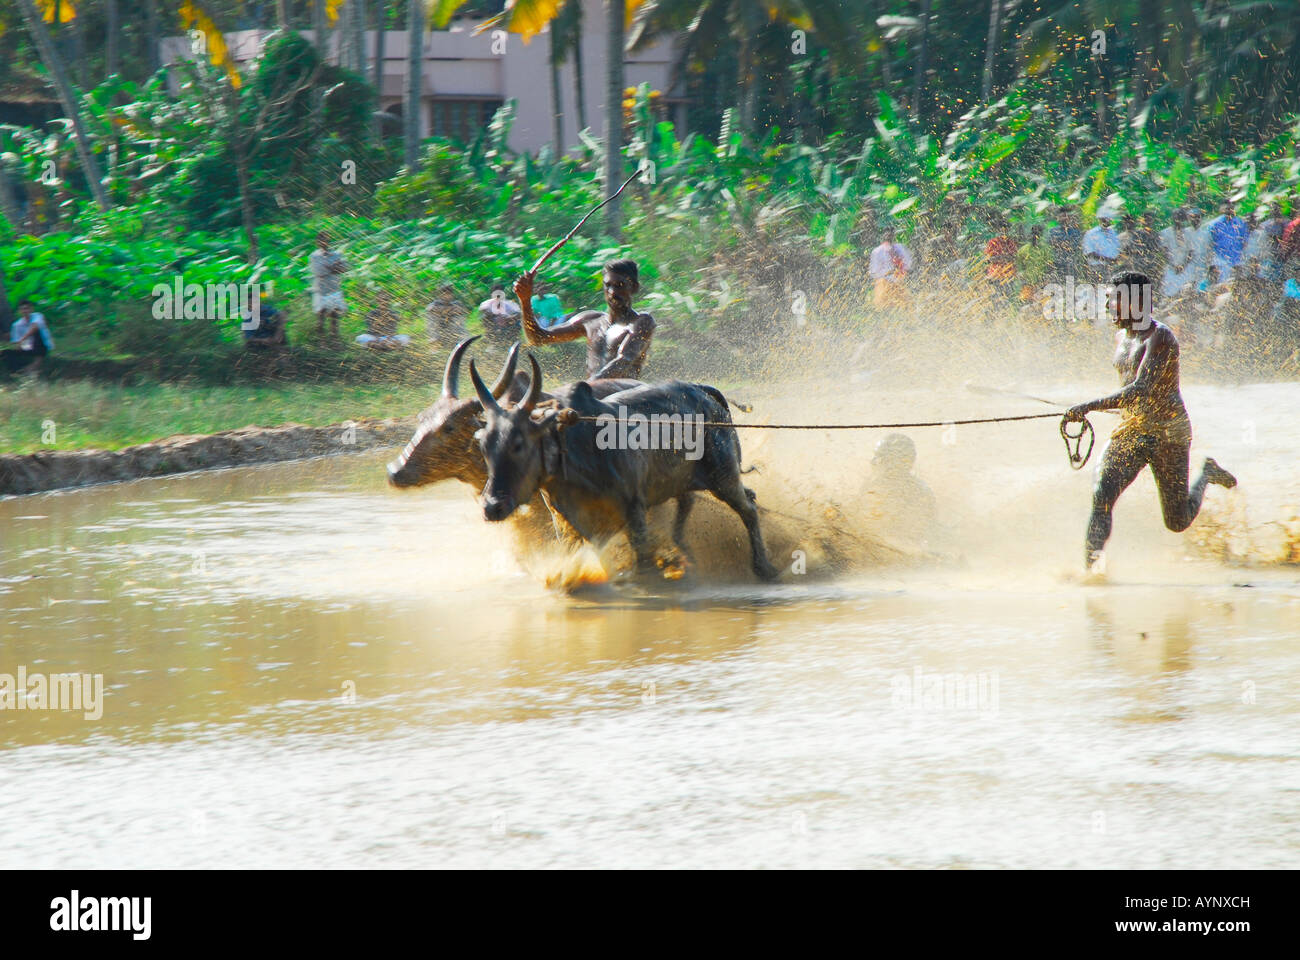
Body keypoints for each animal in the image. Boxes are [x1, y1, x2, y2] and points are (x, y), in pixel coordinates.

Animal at [468, 354, 780, 582]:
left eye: (518, 444)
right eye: (482, 444)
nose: (492, 506)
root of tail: (702, 390)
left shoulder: (634, 508)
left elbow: (641, 556)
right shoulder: (566, 522)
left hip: (723, 476)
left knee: (748, 509)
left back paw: (764, 568)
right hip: (687, 479)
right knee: (697, 503)